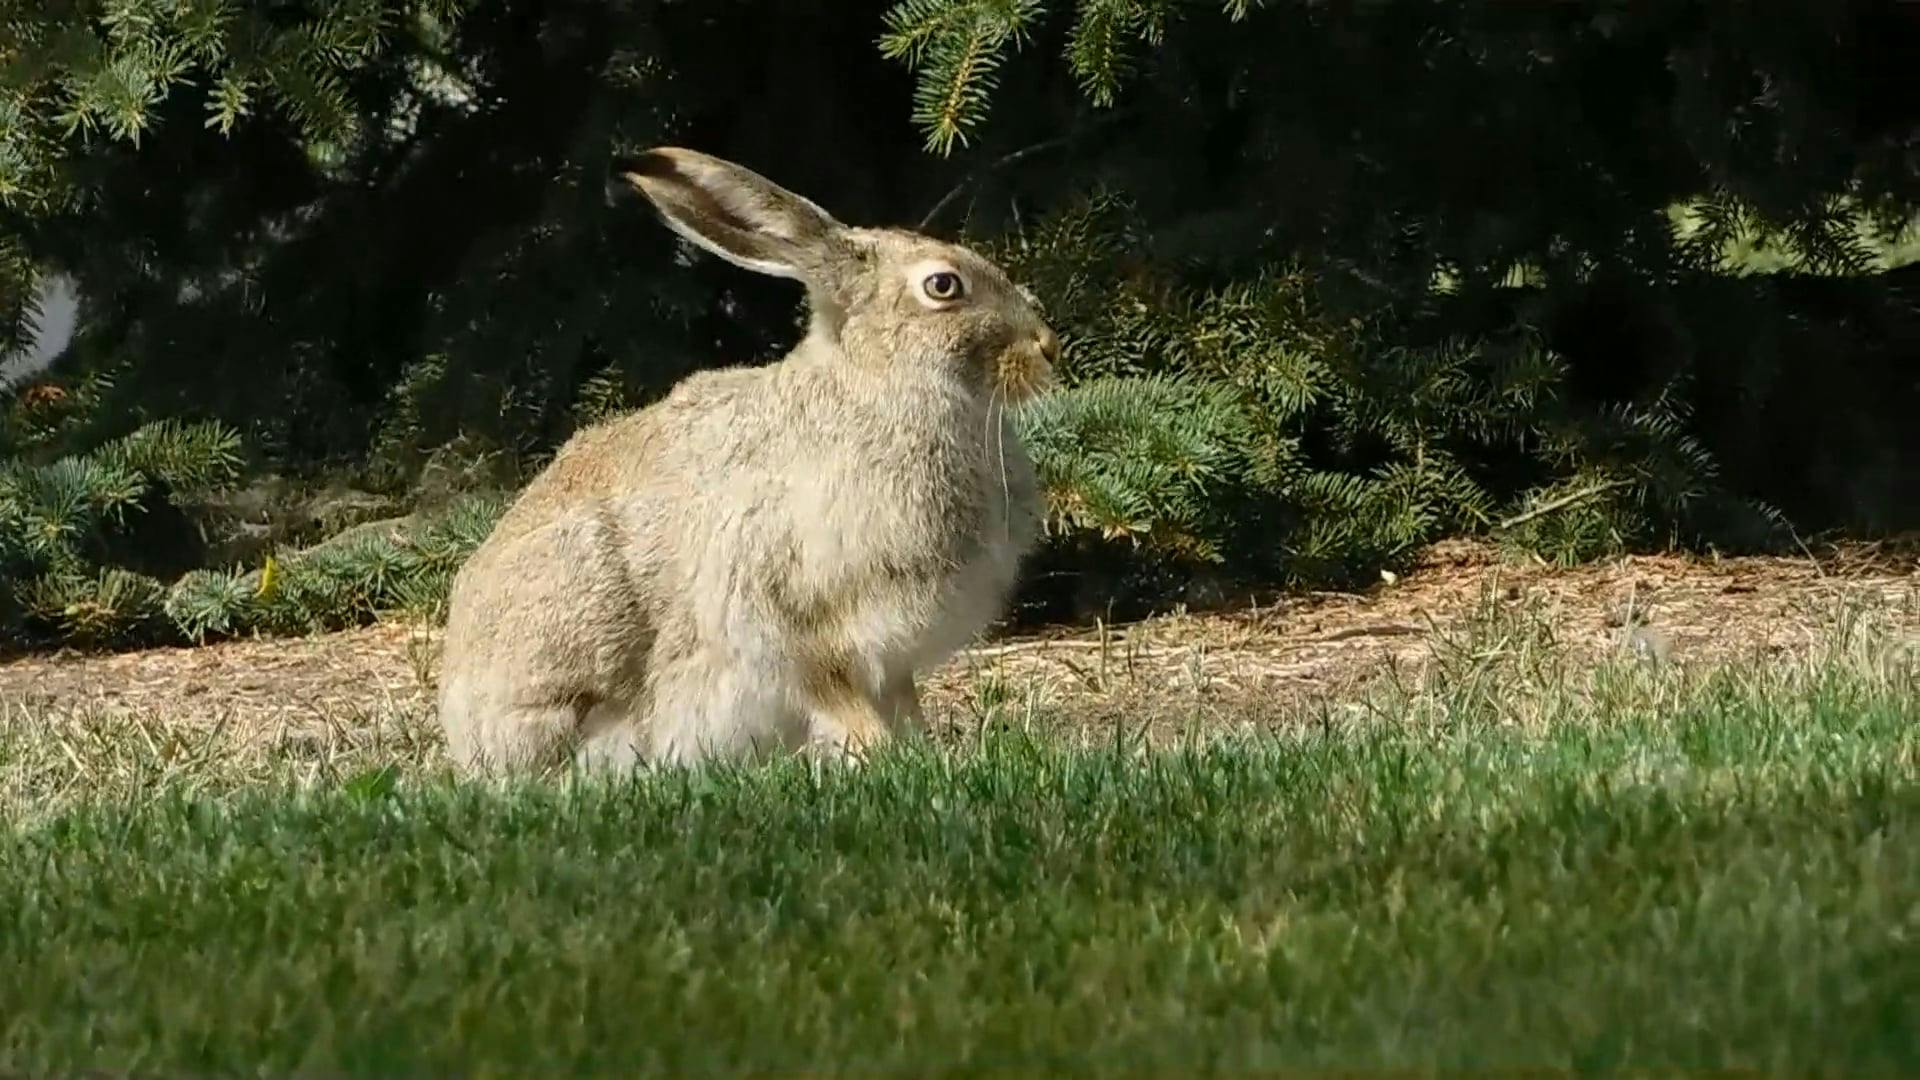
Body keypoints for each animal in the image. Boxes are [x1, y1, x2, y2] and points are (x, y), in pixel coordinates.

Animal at [436, 147, 1059, 773]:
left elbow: (902, 705)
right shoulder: (793, 623)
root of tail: (461, 727)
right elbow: (838, 701)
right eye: (943, 285)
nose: (1048, 346)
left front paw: (919, 751)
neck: (883, 382)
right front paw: (884, 757)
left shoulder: (891, 658)